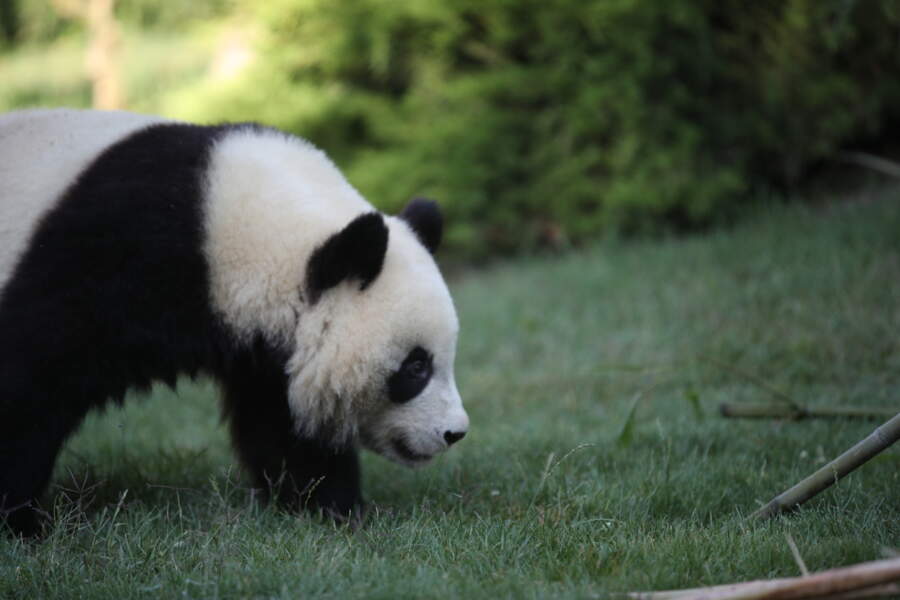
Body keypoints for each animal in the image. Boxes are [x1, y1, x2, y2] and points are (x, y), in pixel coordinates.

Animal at [0, 108, 469, 536]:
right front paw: (20, 523)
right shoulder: (109, 255)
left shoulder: (261, 346)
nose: (455, 433)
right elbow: (32, 376)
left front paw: (329, 507)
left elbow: (280, 421)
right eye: (416, 367)